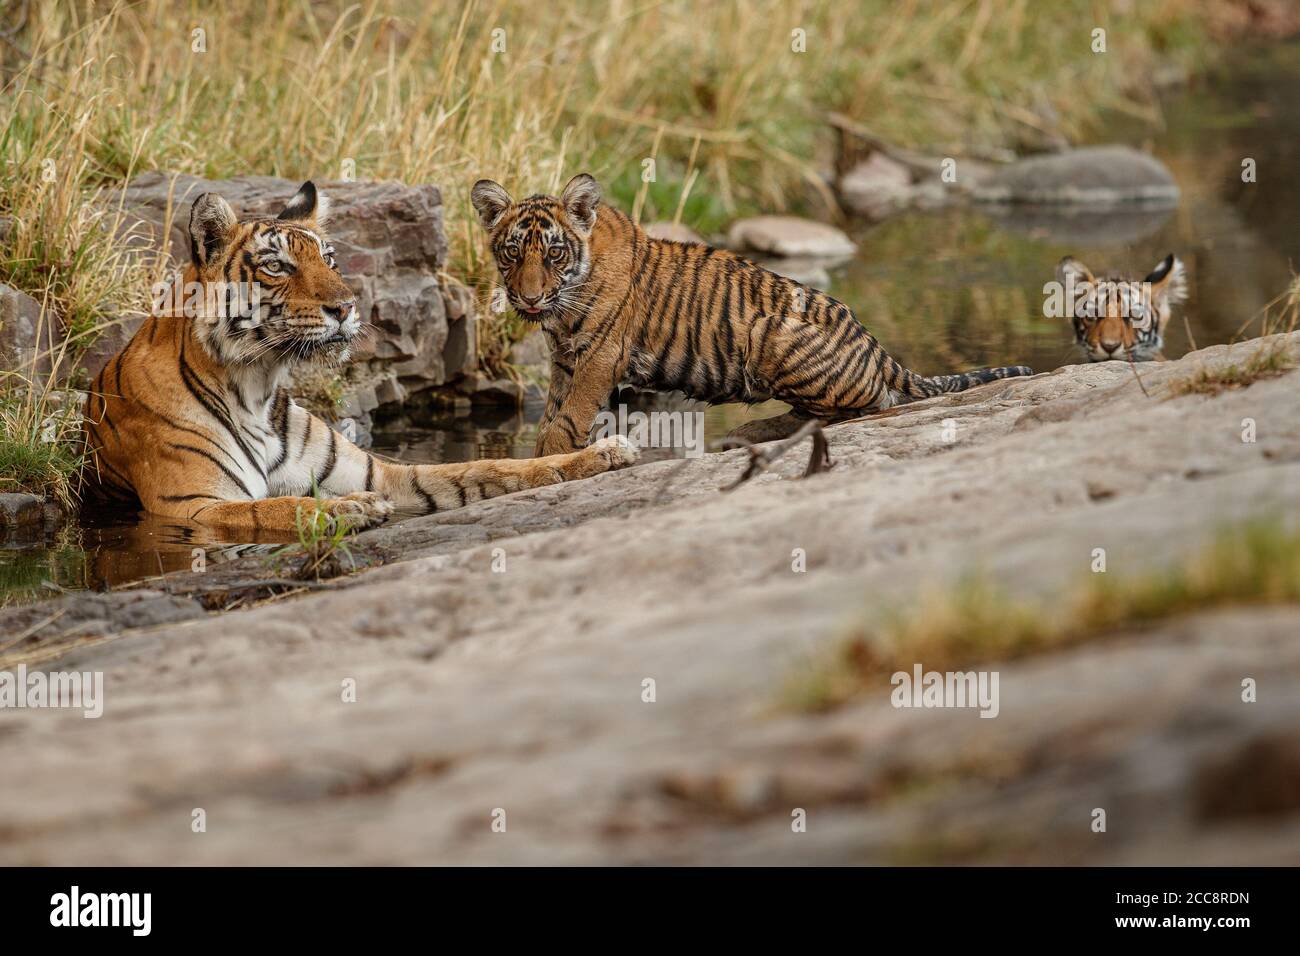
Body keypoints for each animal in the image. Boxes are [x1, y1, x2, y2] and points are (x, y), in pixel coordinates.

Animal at [82, 180, 638, 534]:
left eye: (328, 258)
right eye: (277, 266)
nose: (347, 306)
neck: (256, 382)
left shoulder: (383, 472)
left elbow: (486, 468)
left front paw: (600, 454)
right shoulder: (194, 505)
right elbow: (274, 509)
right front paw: (347, 509)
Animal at [471, 173, 1035, 452]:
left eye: (553, 254)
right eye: (512, 252)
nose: (528, 298)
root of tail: (877, 347)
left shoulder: (599, 356)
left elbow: (568, 420)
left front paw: (551, 461)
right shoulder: (566, 359)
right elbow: (553, 415)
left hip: (770, 334)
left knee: (864, 406)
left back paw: (745, 435)